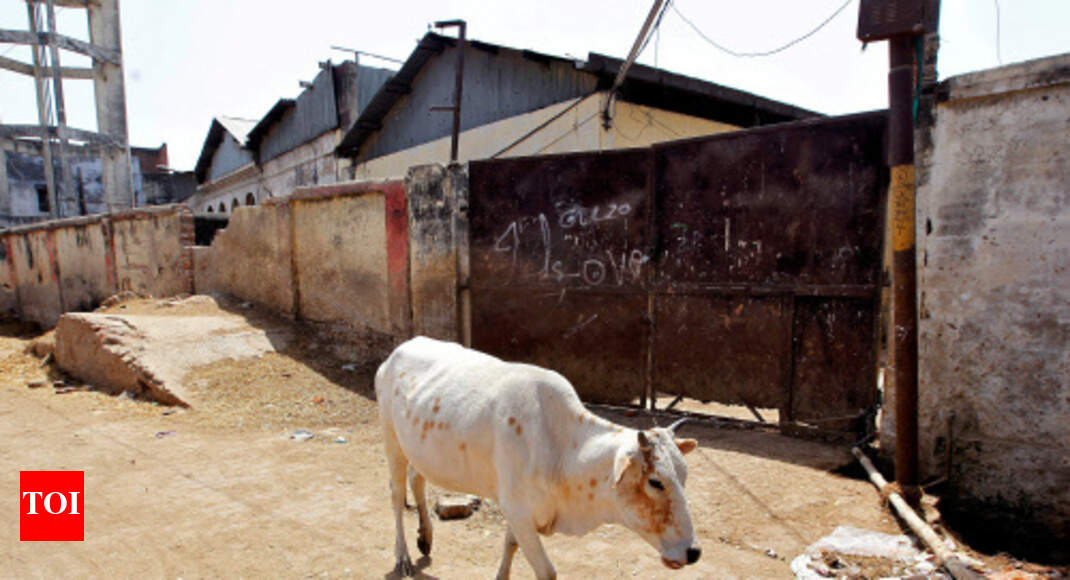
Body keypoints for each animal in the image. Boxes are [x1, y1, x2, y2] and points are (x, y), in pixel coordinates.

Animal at [375, 336, 701, 579]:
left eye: (685, 476)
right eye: (656, 482)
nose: (693, 551)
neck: (561, 450)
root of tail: (396, 353)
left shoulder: (519, 511)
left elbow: (510, 544)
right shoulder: (517, 510)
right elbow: (547, 572)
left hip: (418, 448)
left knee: (417, 480)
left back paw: (425, 538)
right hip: (392, 440)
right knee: (396, 495)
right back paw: (403, 556)